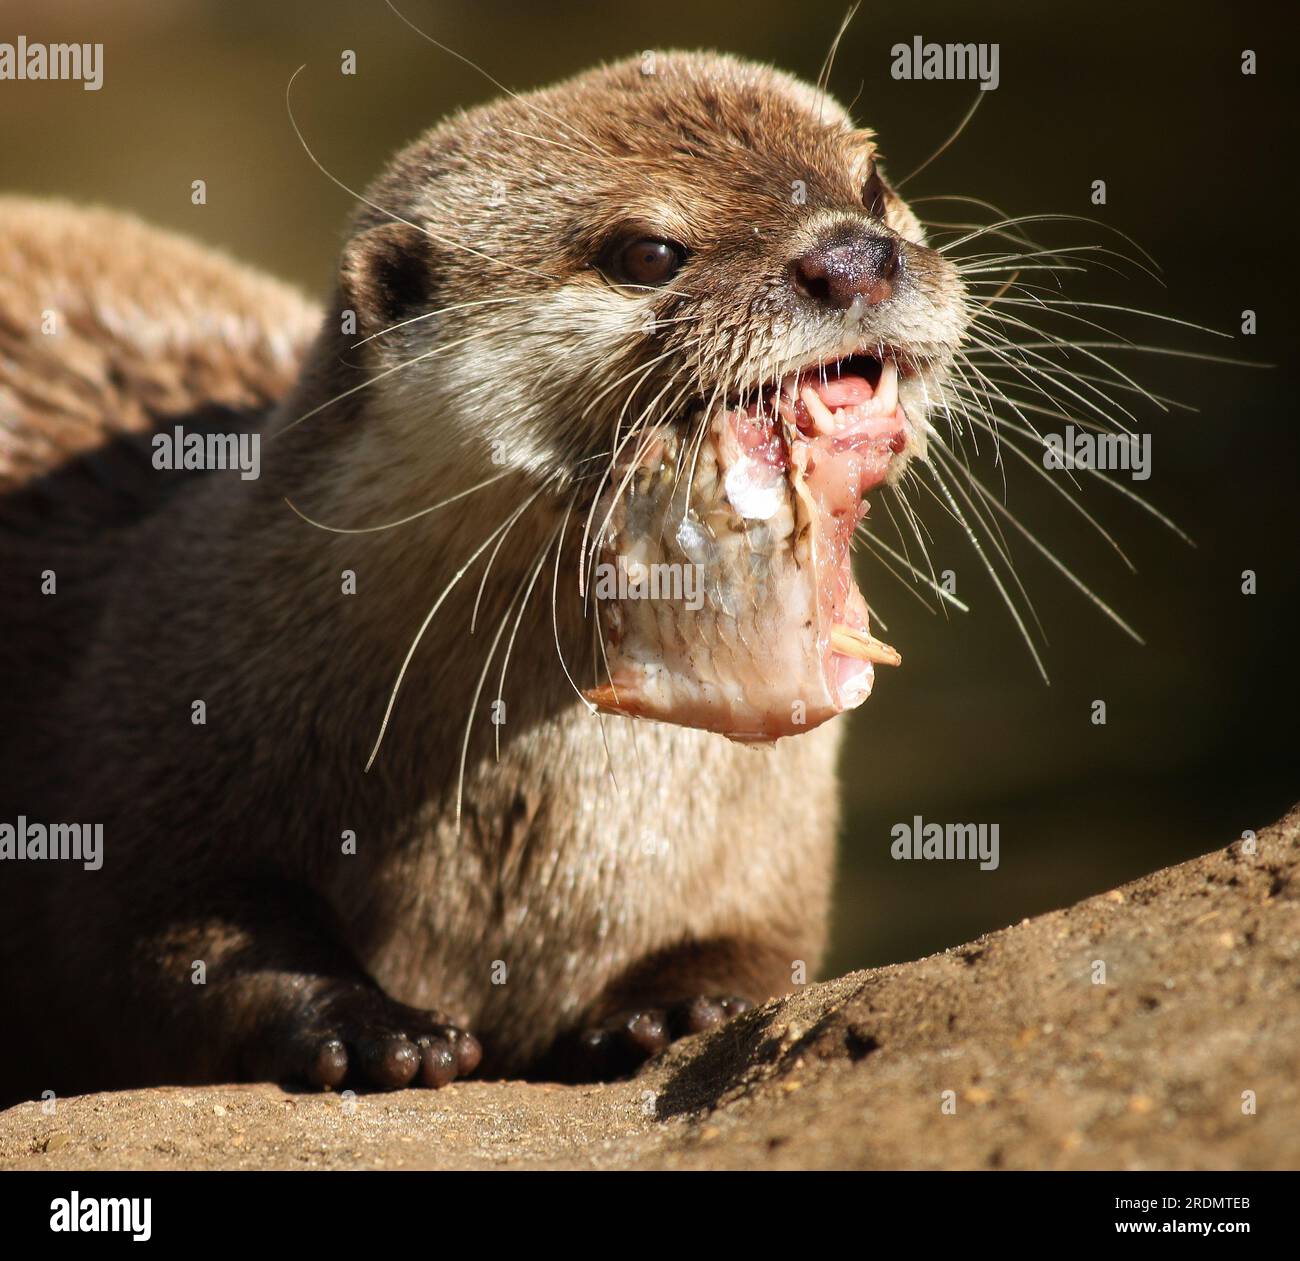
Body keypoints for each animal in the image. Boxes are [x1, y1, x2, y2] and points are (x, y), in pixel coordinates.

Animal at [0, 51, 967, 1100]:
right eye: (648, 252)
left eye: (871, 185)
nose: (854, 258)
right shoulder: (144, 744)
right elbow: (173, 937)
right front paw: (373, 1028)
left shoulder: (768, 841)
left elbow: (758, 944)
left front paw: (677, 1005)